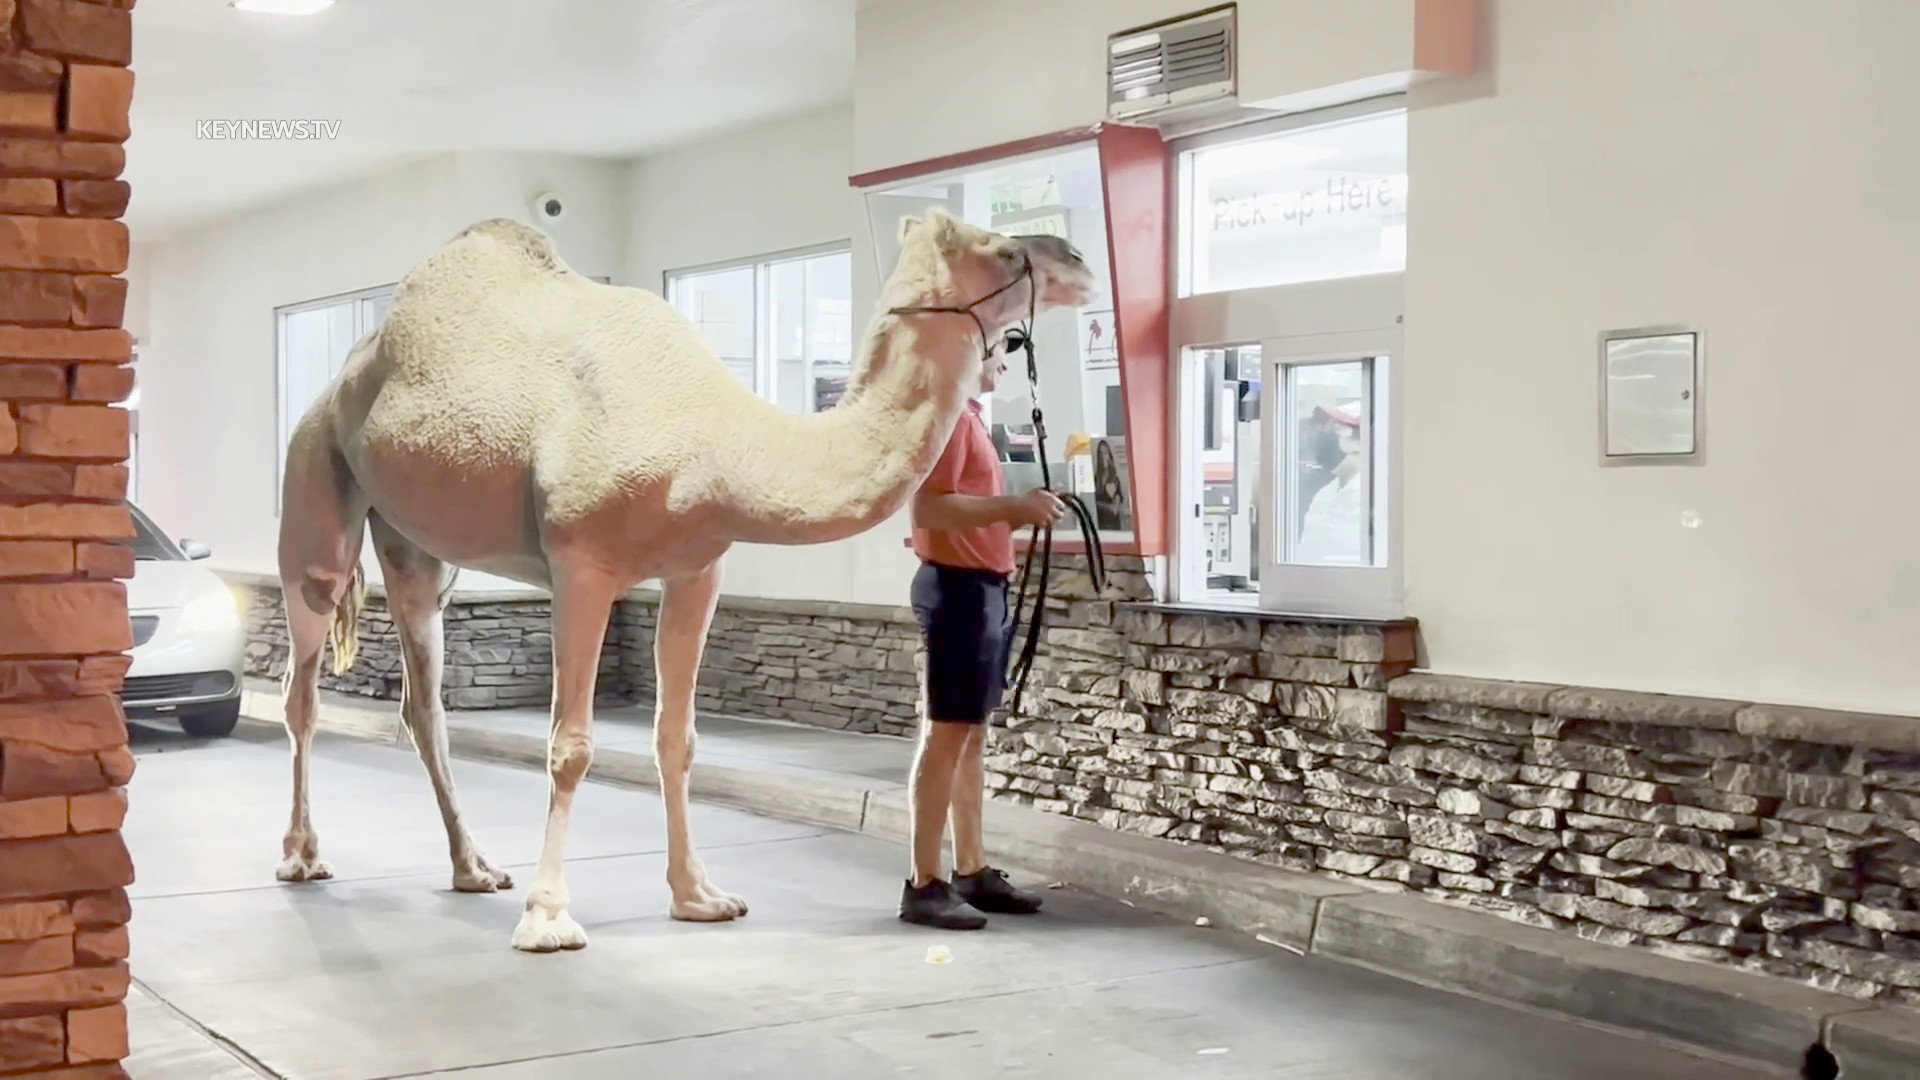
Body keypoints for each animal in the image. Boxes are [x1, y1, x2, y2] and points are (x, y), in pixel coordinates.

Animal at [274, 210, 1096, 951]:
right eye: (1003, 249)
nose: (1078, 256)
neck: (717, 443)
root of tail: (352, 367)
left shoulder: (698, 569)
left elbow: (678, 737)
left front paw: (699, 896)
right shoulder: (580, 563)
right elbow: (570, 744)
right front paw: (548, 919)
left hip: (415, 543)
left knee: (424, 699)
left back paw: (473, 867)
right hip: (316, 473)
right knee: (304, 680)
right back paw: (303, 856)